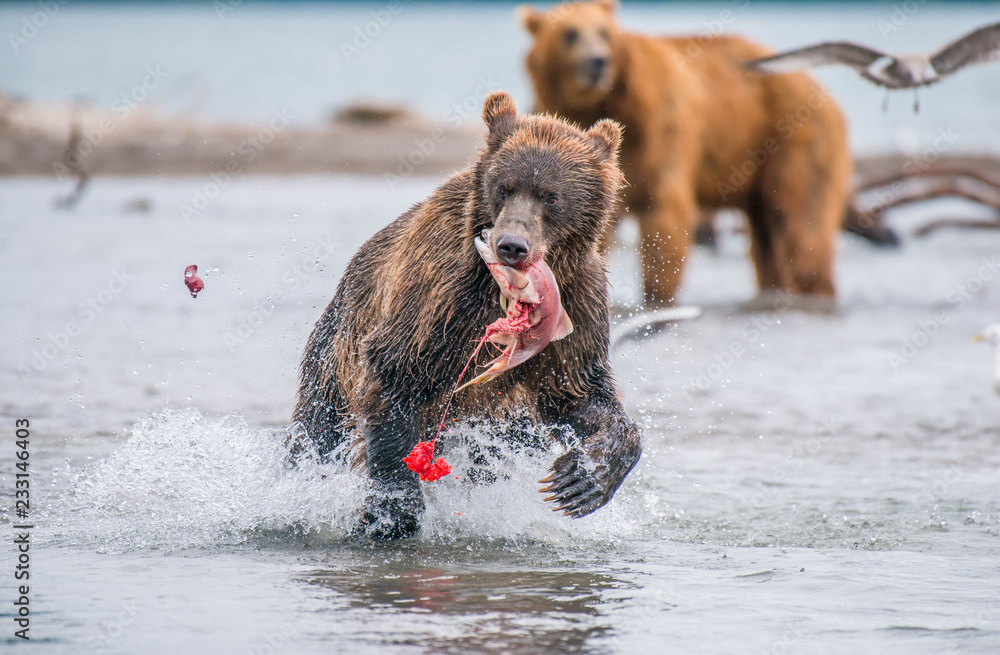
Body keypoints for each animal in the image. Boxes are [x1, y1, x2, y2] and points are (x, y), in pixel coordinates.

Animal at [293, 91, 642, 540]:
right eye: (504, 187)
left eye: (552, 196)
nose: (512, 245)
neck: (504, 291)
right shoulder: (440, 298)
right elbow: (396, 374)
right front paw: (392, 510)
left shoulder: (579, 303)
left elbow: (578, 390)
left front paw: (581, 479)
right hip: (336, 350)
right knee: (319, 430)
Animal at [518, 0, 853, 307]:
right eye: (570, 33)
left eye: (603, 32)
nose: (598, 61)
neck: (599, 104)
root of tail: (820, 88)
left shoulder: (659, 134)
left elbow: (663, 215)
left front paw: (657, 296)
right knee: (768, 240)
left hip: (792, 140)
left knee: (800, 222)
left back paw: (815, 289)